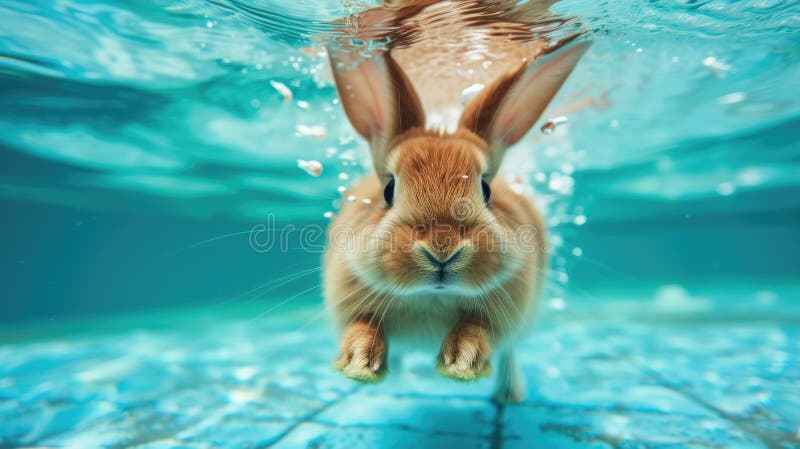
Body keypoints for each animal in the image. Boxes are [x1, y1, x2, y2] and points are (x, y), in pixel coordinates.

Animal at [323, 1, 588, 403]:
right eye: (388, 190)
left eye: (486, 189)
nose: (442, 248)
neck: (430, 299)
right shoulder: (352, 301)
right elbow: (363, 328)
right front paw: (358, 366)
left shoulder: (503, 314)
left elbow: (479, 331)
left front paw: (462, 366)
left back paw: (508, 393)